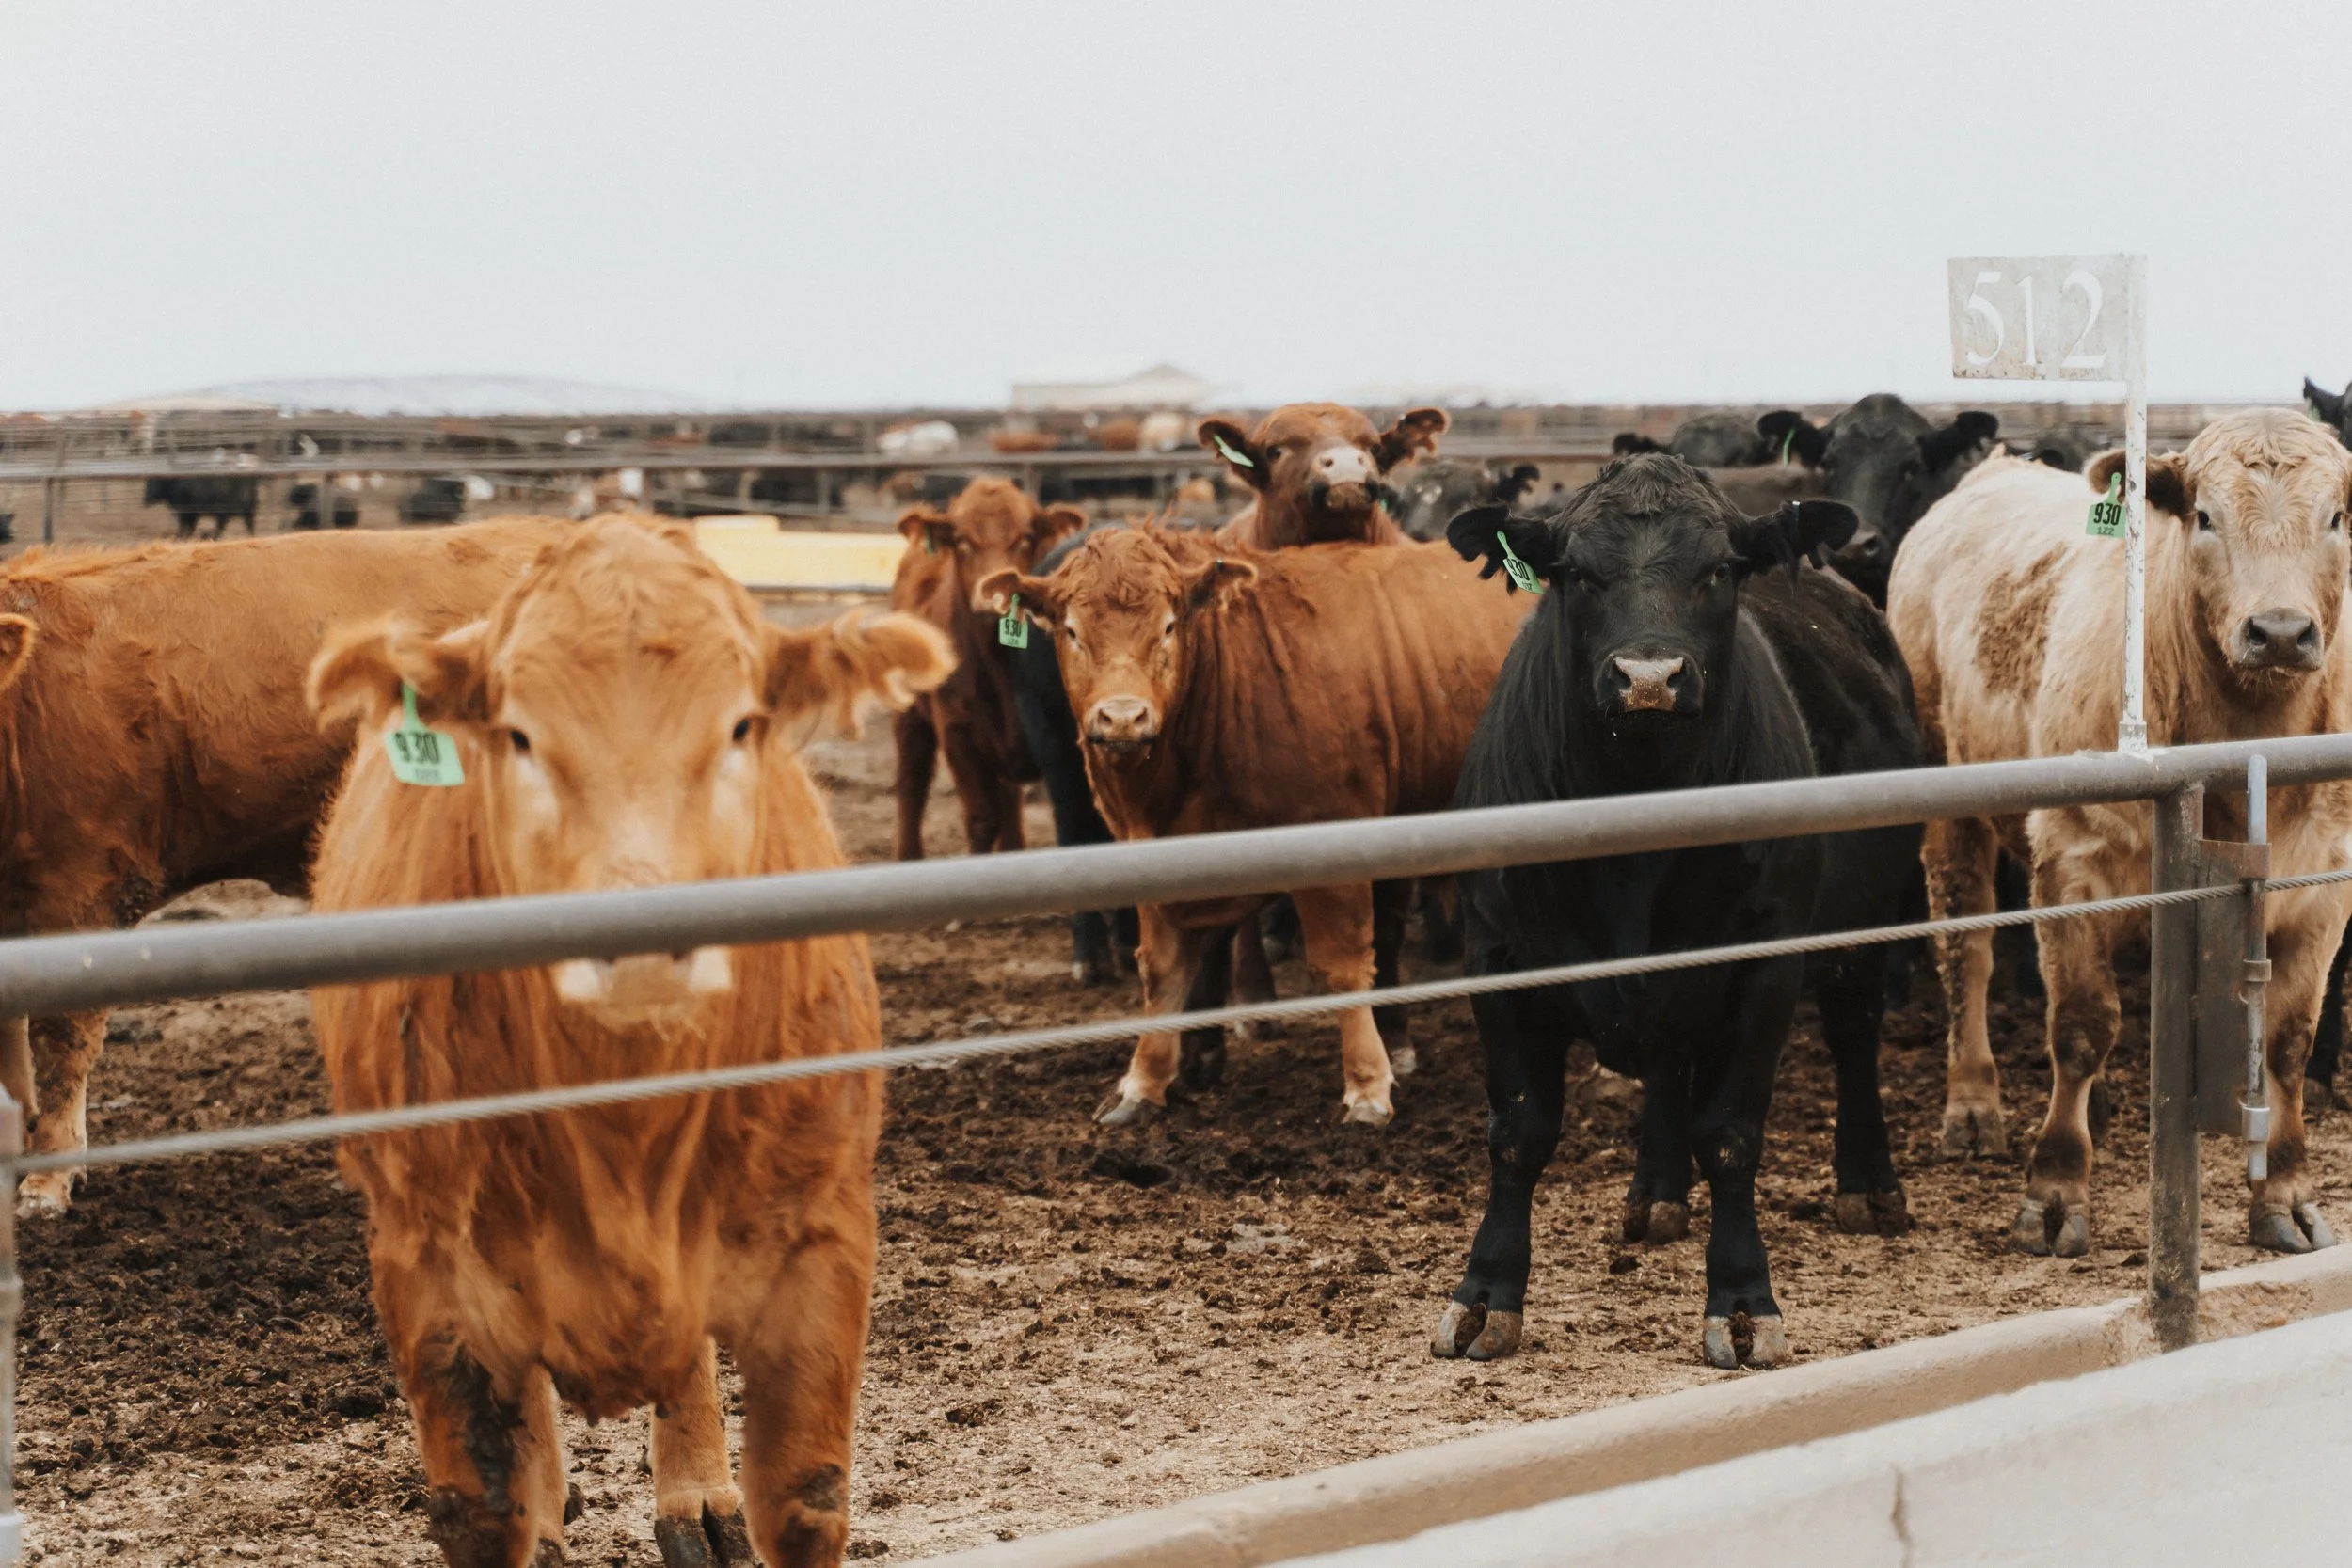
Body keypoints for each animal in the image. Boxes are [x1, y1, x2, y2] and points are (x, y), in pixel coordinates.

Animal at [307, 515, 950, 1568]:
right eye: (519, 735)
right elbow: (482, 1508)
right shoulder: (430, 1273)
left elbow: (805, 1496)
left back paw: (696, 1500)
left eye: (741, 726)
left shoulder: (822, 1242)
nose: (644, 934)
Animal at [888, 478, 1085, 859]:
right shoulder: (957, 734)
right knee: (911, 784)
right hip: (909, 713)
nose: (992, 597)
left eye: (1025, 538)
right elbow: (981, 820)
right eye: (962, 541)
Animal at [979, 527, 1531, 1127]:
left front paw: (1366, 1084)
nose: (1123, 717)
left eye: (1168, 626)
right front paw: (1142, 1083)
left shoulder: (1333, 839)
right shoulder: (1149, 858)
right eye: (1073, 631)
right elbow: (1164, 972)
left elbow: (1341, 966)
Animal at [1431, 455, 1921, 1369]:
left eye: (1720, 569)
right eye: (1576, 572)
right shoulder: (1498, 962)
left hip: (1866, 923)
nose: (1650, 679)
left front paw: (1742, 1298)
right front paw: (1485, 1293)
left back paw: (1868, 1184)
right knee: (1668, 1063)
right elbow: (1518, 1134)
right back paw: (1655, 1189)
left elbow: (1730, 1133)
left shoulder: (1765, 967)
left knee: (1854, 1038)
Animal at [1890, 413, 2352, 1257]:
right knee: (1965, 948)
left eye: (2335, 517)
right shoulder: (2071, 865)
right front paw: (2055, 1190)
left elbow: (2287, 1040)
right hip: (1947, 796)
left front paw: (2287, 1192)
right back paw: (1973, 1103)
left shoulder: (2321, 887)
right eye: (2204, 515)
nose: (2279, 632)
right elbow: (2080, 1025)